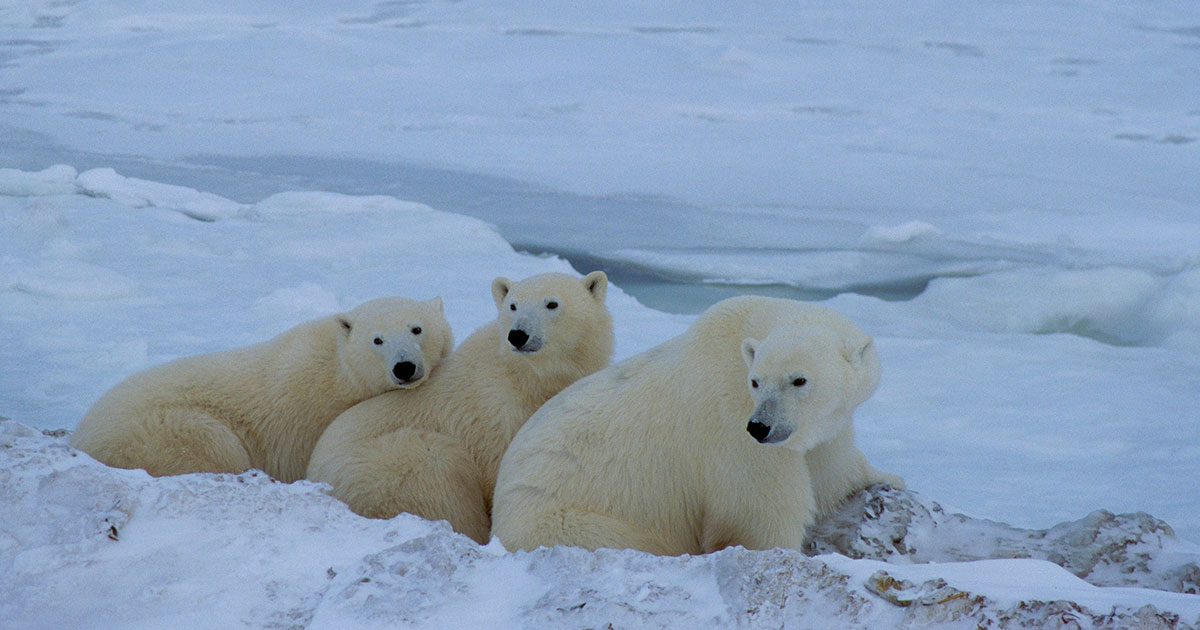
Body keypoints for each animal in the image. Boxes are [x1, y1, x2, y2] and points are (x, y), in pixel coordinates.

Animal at [70, 296, 453, 482]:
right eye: (378, 339)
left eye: (417, 328)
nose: (404, 367)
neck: (341, 373)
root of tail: (80, 437)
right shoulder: (306, 419)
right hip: (157, 432)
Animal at [306, 271, 613, 544]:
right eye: (513, 305)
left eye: (552, 303)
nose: (518, 335)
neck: (526, 379)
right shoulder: (497, 417)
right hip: (386, 466)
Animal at [491, 295, 901, 555]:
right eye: (756, 381)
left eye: (798, 380)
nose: (760, 427)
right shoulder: (729, 426)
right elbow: (758, 510)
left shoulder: (825, 428)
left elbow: (832, 471)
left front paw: (889, 478)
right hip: (559, 517)